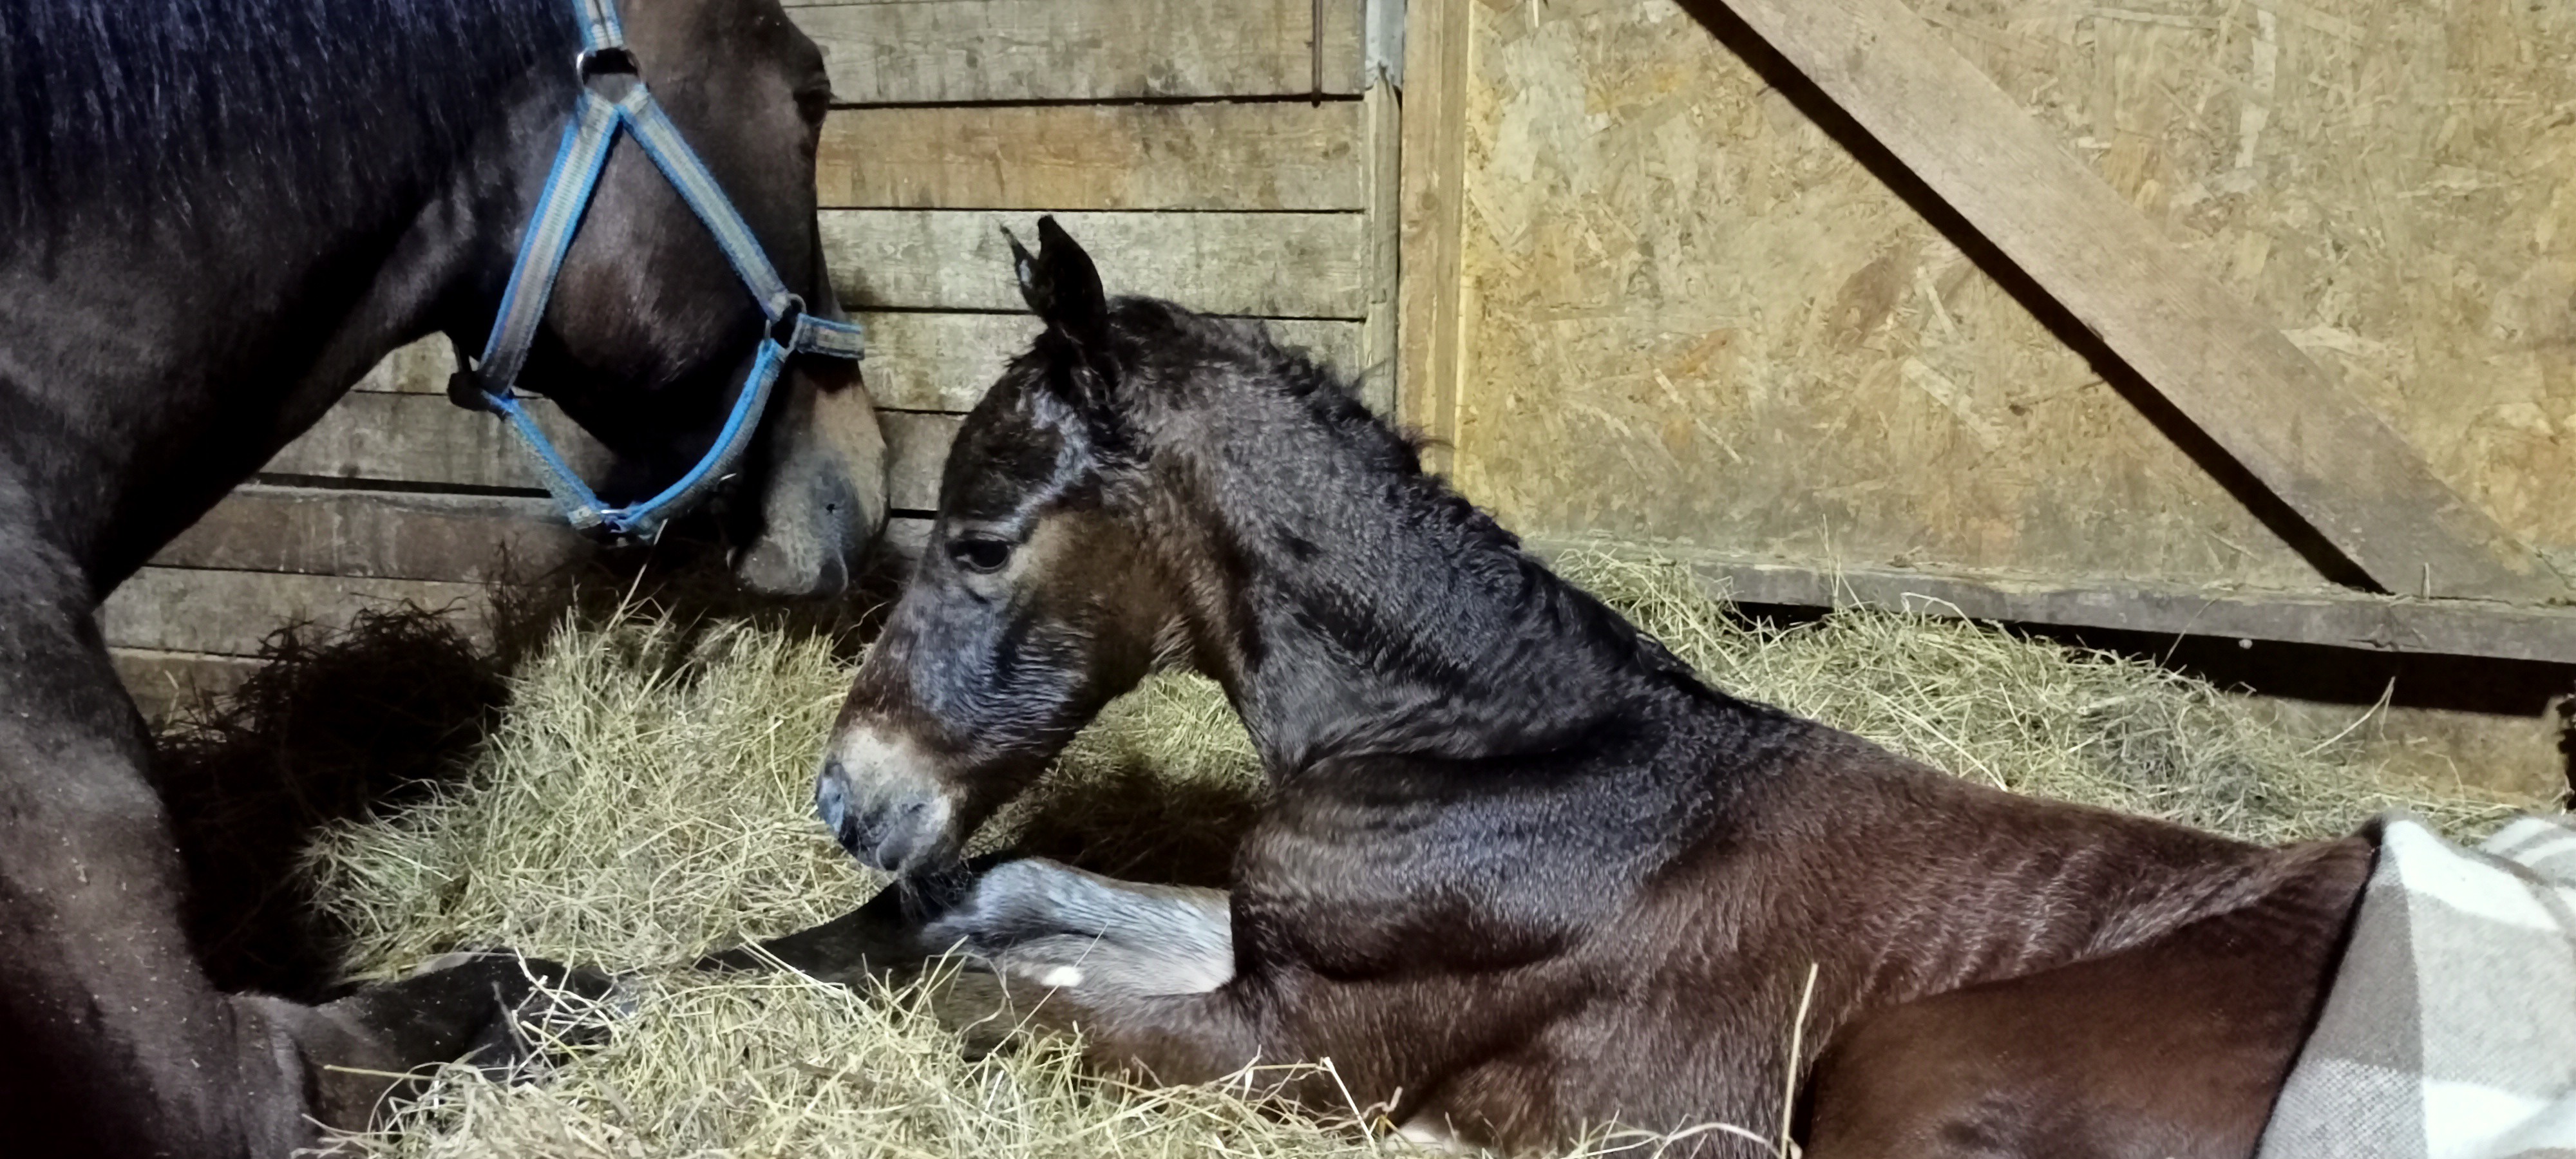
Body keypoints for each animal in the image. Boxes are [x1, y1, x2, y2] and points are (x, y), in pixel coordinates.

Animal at [799, 220, 2473, 1159]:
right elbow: (1017, 898)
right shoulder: (1270, 966)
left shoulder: (1300, 1048)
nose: (845, 799)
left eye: (979, 540)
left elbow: (991, 996)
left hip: (1905, 1070)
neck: (1490, 756)